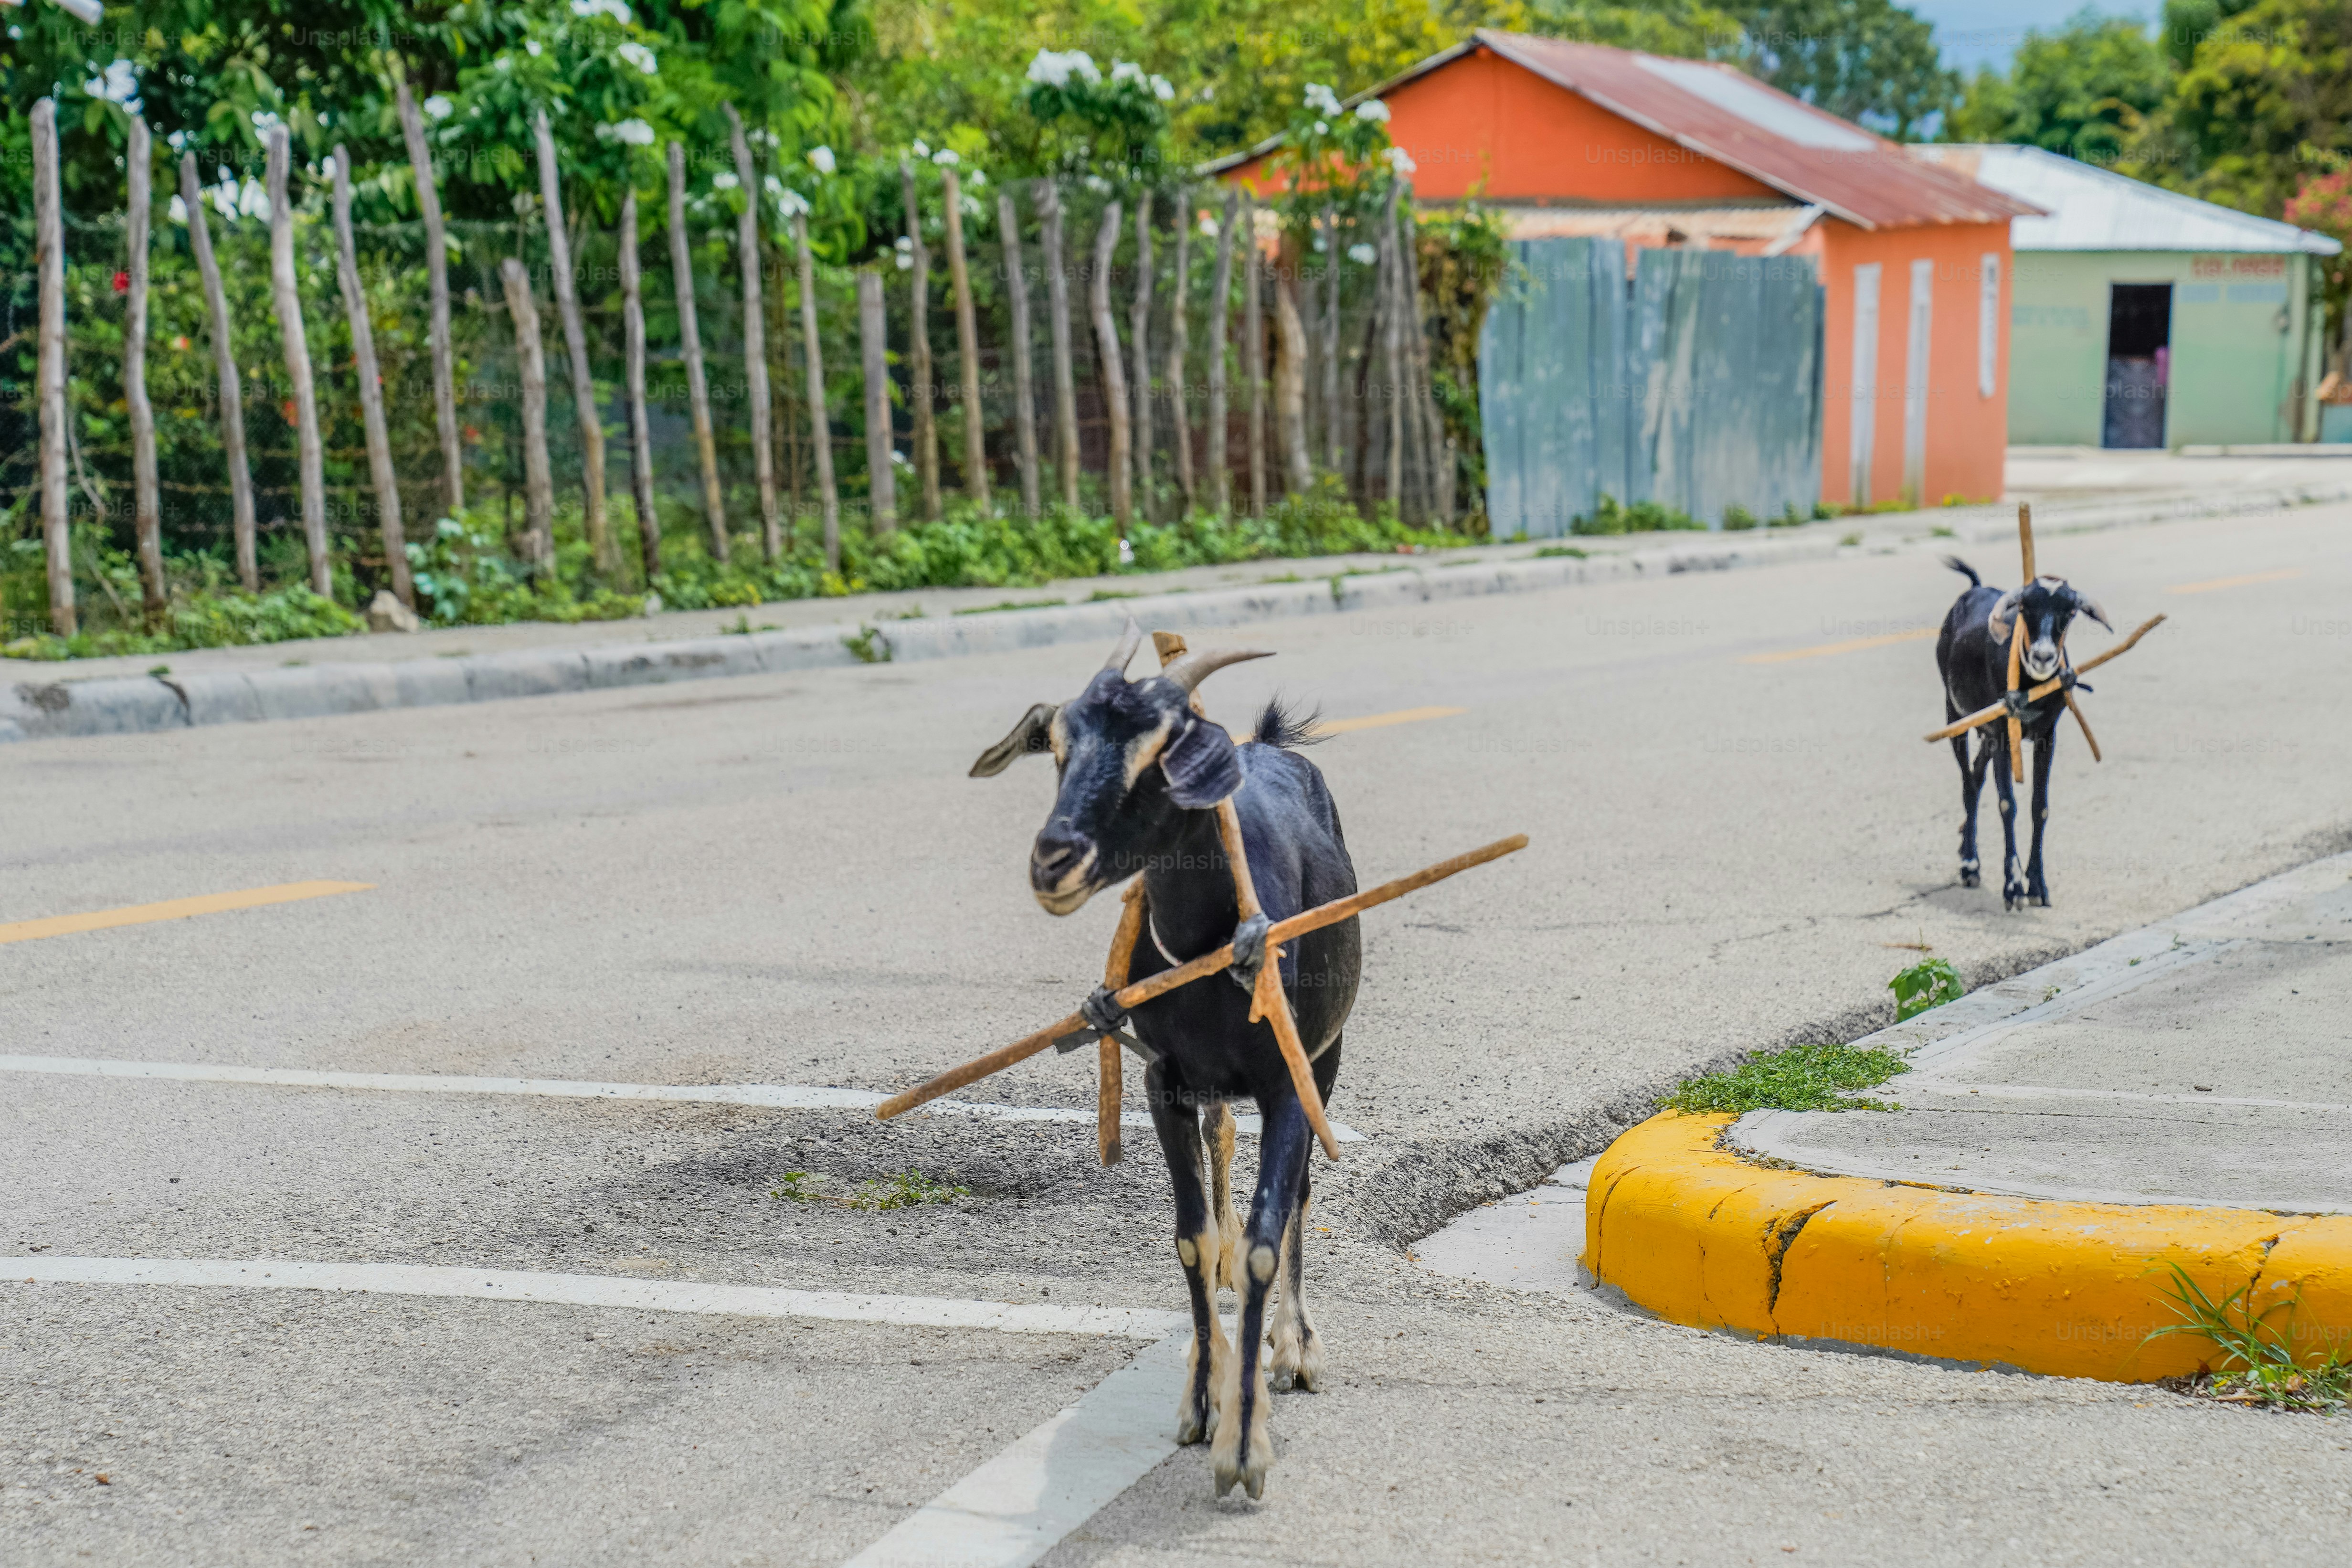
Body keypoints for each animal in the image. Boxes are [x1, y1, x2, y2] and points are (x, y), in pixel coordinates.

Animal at [970, 620, 1359, 1499]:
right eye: (1056, 743)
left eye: (1161, 750)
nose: (1053, 859)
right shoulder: (1161, 1081)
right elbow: (1191, 1239)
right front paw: (1201, 1404)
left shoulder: (1286, 1081)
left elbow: (1264, 1237)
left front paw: (1245, 1446)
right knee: (1221, 1149)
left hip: (1326, 1058)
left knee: (1299, 1197)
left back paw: (1295, 1344)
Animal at [1935, 558, 2109, 908]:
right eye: (2026, 606)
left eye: (2071, 611)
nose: (2043, 657)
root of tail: (1973, 589)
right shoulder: (2004, 736)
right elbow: (2008, 804)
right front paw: (2013, 887)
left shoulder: (2047, 736)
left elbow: (2039, 806)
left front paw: (2038, 885)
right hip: (1956, 713)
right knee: (1968, 784)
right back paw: (1970, 865)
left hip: (1987, 733)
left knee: (1976, 774)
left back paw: (1966, 847)